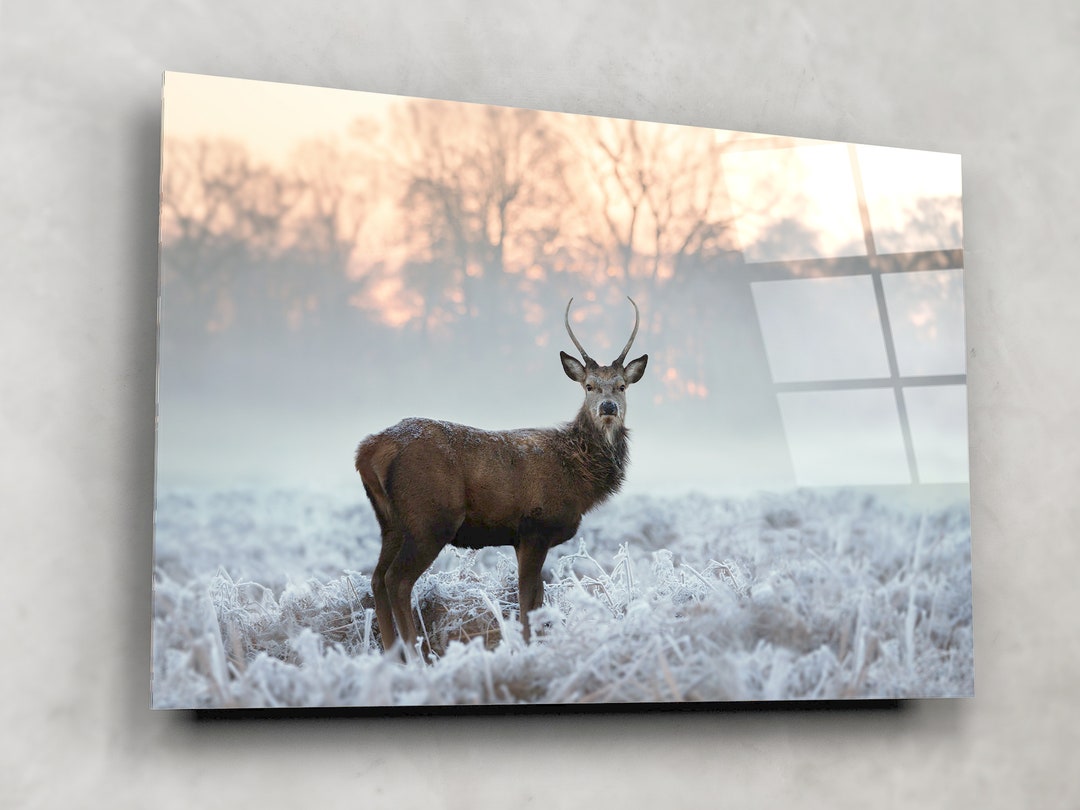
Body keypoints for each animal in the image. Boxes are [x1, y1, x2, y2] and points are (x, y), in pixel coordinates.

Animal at [354, 297, 648, 659]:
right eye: (589, 386)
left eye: (622, 386)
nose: (608, 407)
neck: (579, 480)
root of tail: (368, 451)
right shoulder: (535, 526)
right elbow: (526, 601)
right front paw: (526, 649)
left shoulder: (526, 537)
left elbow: (536, 599)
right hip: (430, 517)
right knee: (396, 580)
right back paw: (416, 657)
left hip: (391, 521)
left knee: (377, 578)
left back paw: (393, 657)